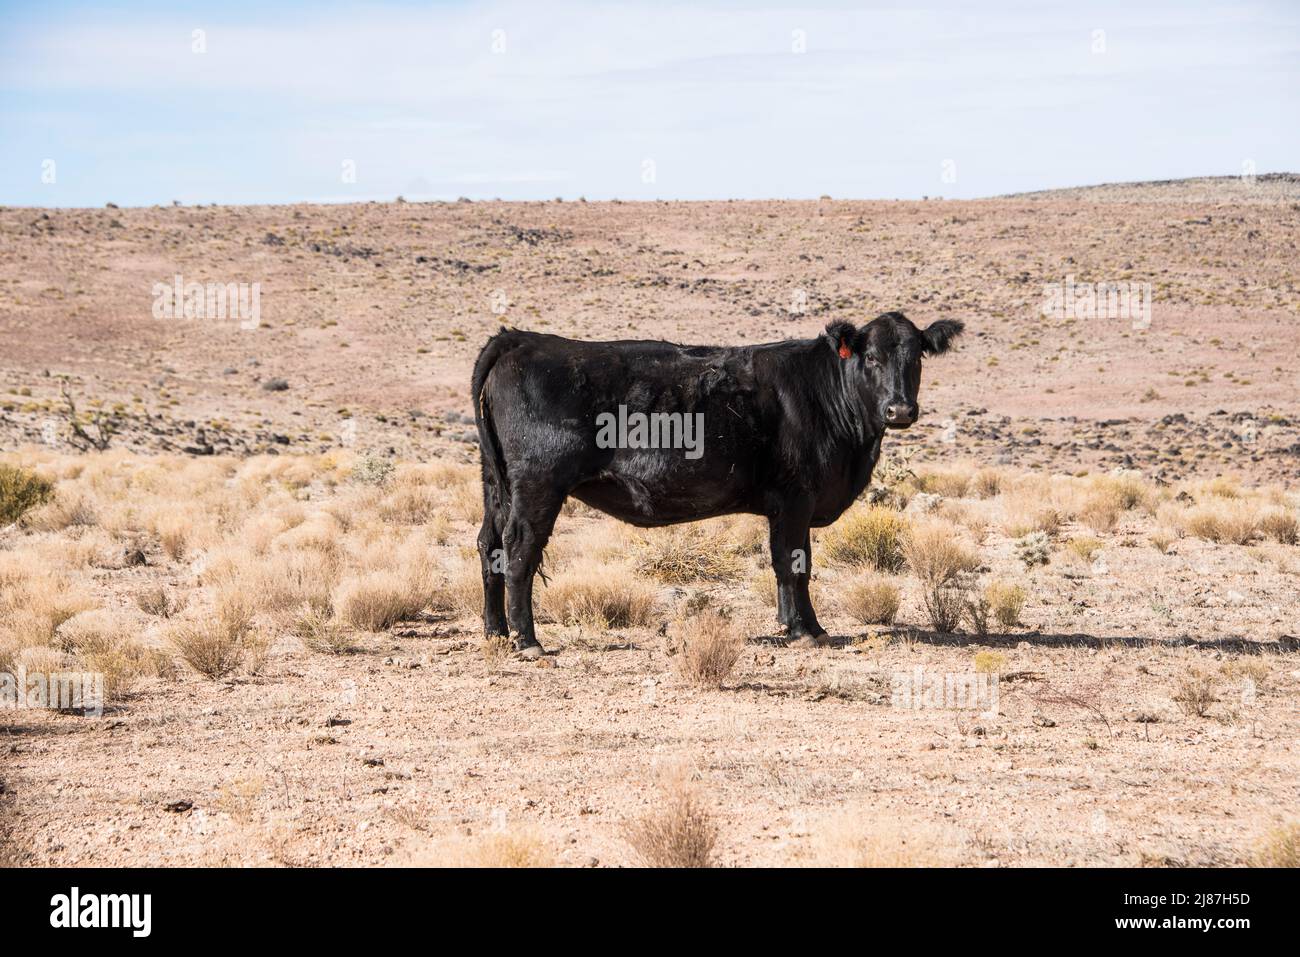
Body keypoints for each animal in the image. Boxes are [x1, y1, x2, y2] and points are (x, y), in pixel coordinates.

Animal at [472, 311, 963, 658]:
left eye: (915, 357)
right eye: (872, 357)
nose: (901, 410)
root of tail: (520, 338)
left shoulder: (789, 505)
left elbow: (788, 565)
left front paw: (796, 626)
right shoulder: (796, 498)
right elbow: (793, 564)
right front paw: (806, 631)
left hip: (496, 485)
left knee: (488, 544)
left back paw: (495, 632)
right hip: (538, 484)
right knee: (519, 548)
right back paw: (527, 641)